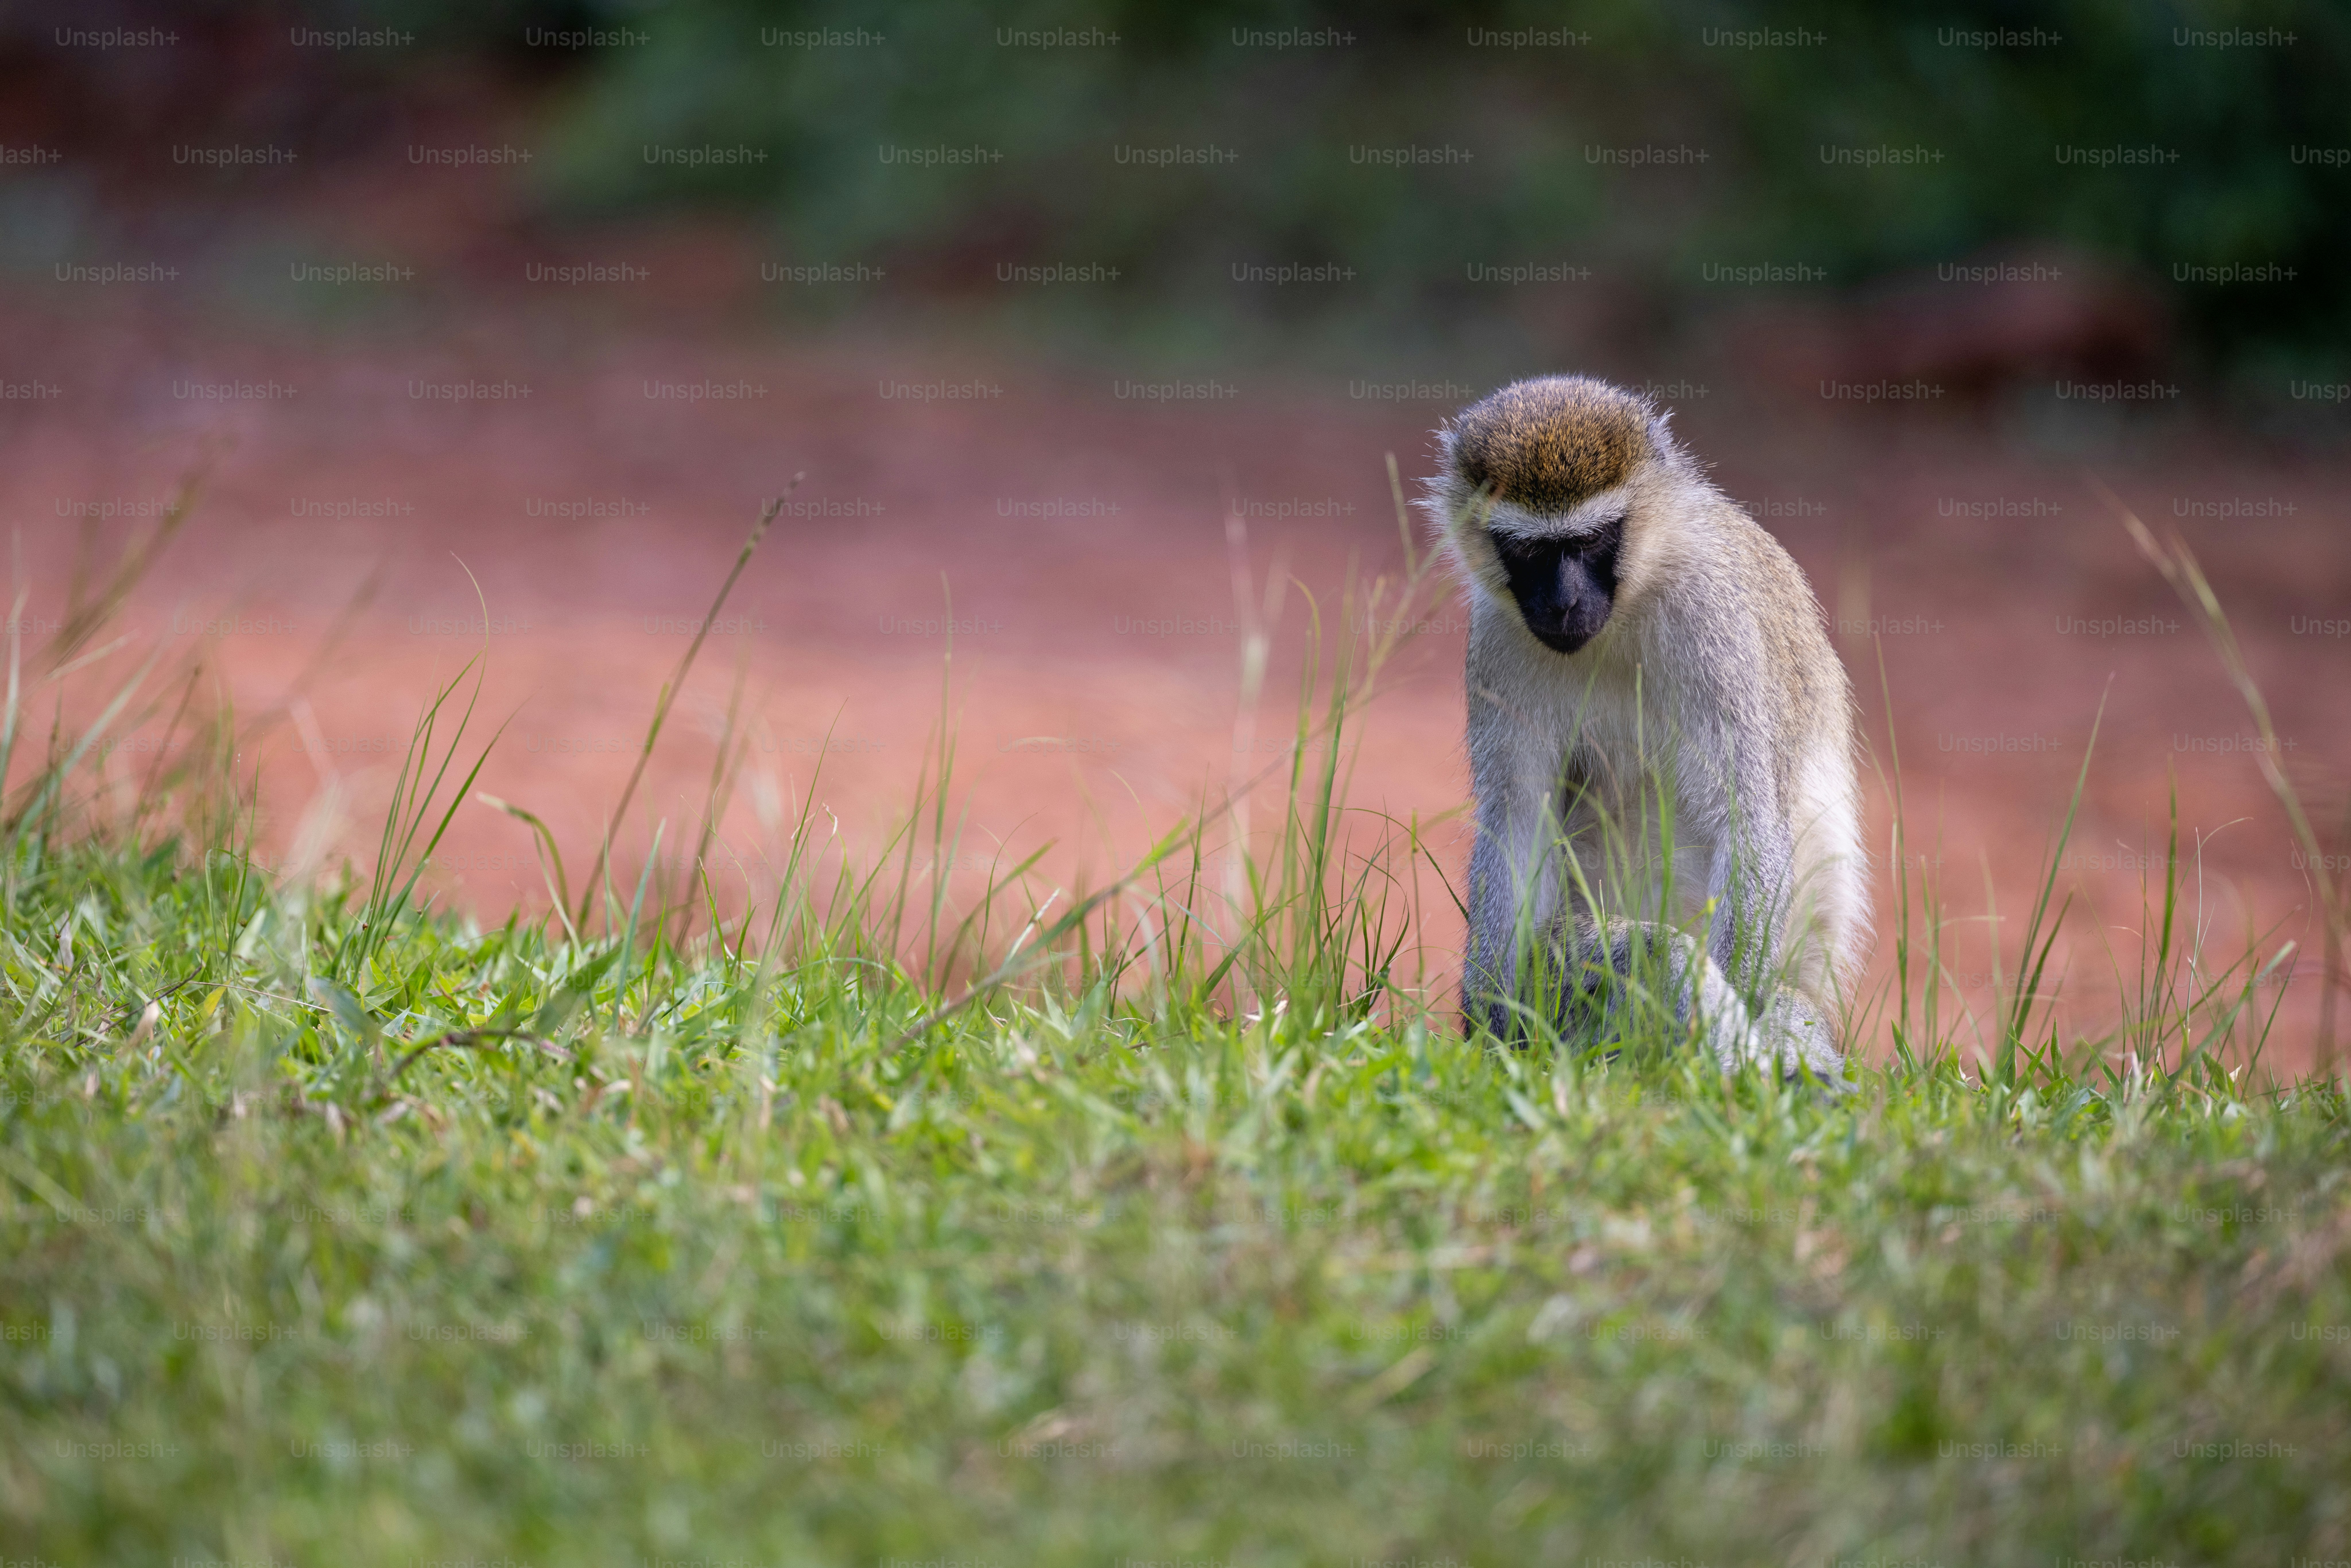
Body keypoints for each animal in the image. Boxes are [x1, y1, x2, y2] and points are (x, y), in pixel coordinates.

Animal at [1420, 375, 1865, 1082]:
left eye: (1591, 541)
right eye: (1529, 550)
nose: (1565, 602)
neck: (1624, 612)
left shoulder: (1713, 618)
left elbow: (1744, 816)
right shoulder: (1497, 639)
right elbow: (1518, 819)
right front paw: (1490, 1022)